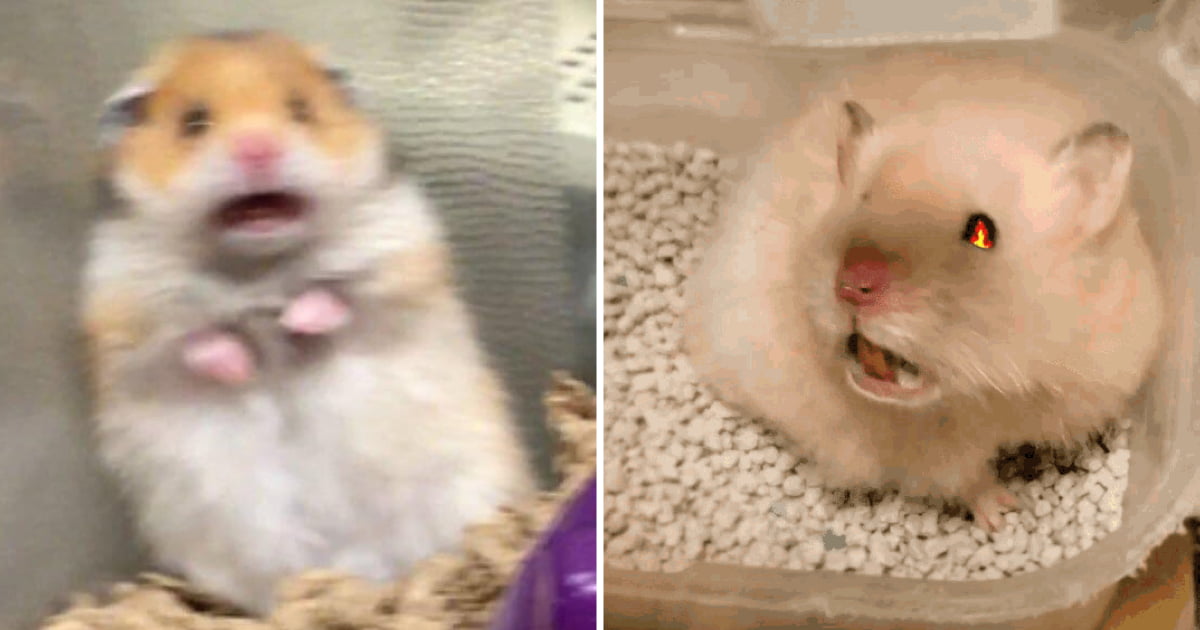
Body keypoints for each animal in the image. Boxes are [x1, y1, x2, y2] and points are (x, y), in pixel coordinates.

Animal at [81, 31, 534, 613]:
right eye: (193, 122)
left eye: (301, 111)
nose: (258, 149)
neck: (259, 266)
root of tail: (360, 570)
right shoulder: (126, 322)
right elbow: (196, 342)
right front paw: (243, 366)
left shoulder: (403, 266)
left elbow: (338, 298)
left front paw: (296, 321)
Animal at [683, 73, 1165, 531]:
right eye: (861, 201)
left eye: (982, 232)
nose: (850, 287)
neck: (989, 394)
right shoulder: (929, 453)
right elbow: (968, 479)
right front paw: (1004, 514)